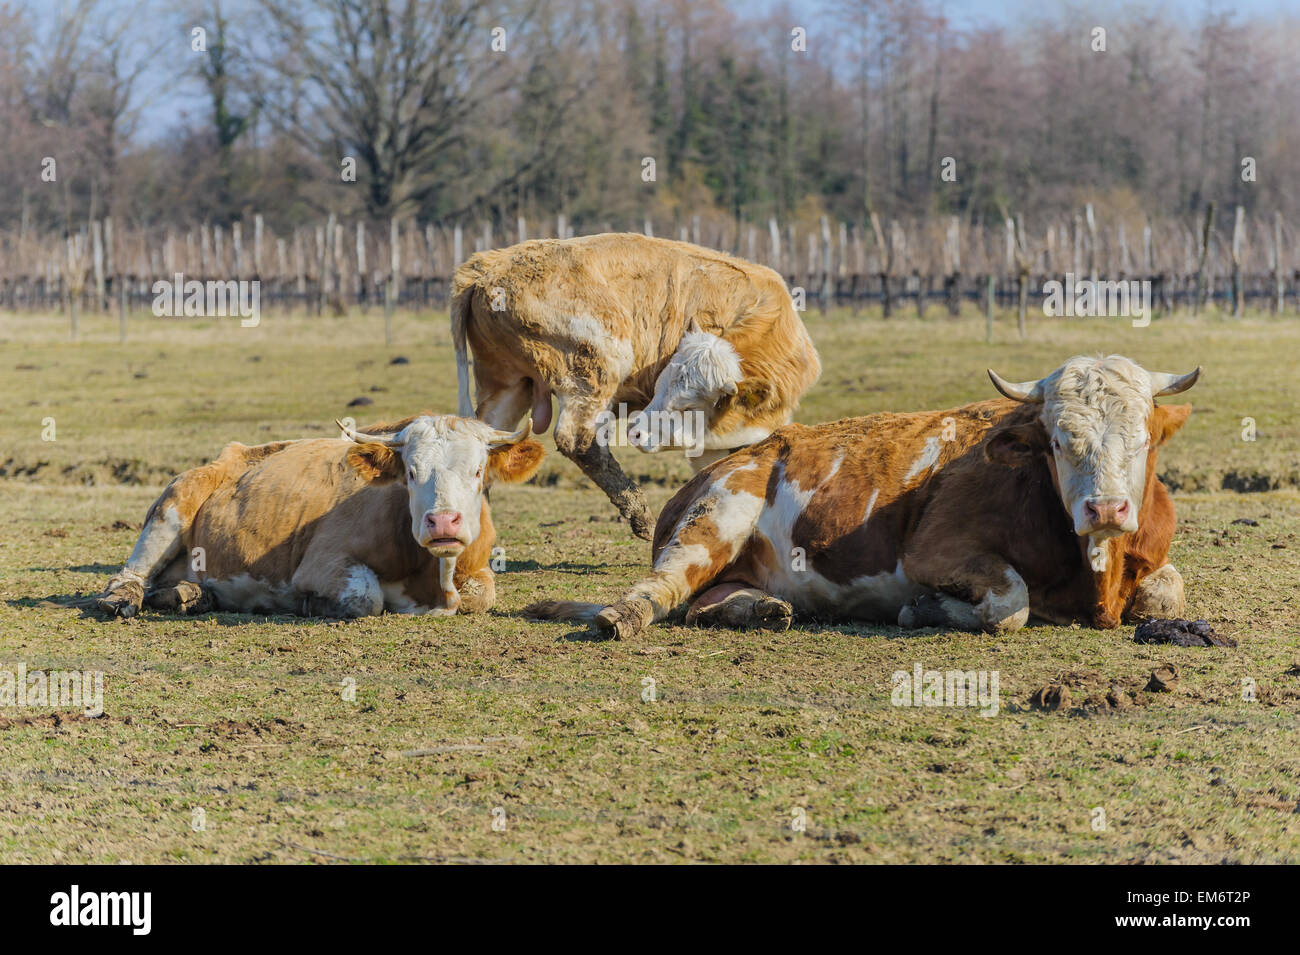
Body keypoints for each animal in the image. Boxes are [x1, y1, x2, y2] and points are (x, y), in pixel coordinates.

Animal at [95, 414, 544, 619]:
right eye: (412, 472)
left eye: (477, 471)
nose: (444, 523)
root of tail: (231, 456)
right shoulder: (322, 562)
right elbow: (365, 596)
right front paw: (309, 603)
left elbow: (483, 595)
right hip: (173, 505)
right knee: (130, 576)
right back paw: (124, 599)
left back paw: (190, 594)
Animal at [450, 232, 821, 539]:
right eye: (660, 388)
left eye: (689, 405)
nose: (636, 432)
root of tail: (489, 265)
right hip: (598, 362)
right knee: (577, 439)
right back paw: (640, 515)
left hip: (509, 386)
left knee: (488, 443)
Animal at [525, 355, 1199, 639]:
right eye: (1058, 441)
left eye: (1142, 439)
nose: (1106, 510)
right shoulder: (935, 548)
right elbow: (1012, 603)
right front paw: (927, 610)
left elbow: (1167, 593)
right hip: (714, 518)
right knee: (664, 590)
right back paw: (622, 617)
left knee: (701, 605)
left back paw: (756, 610)